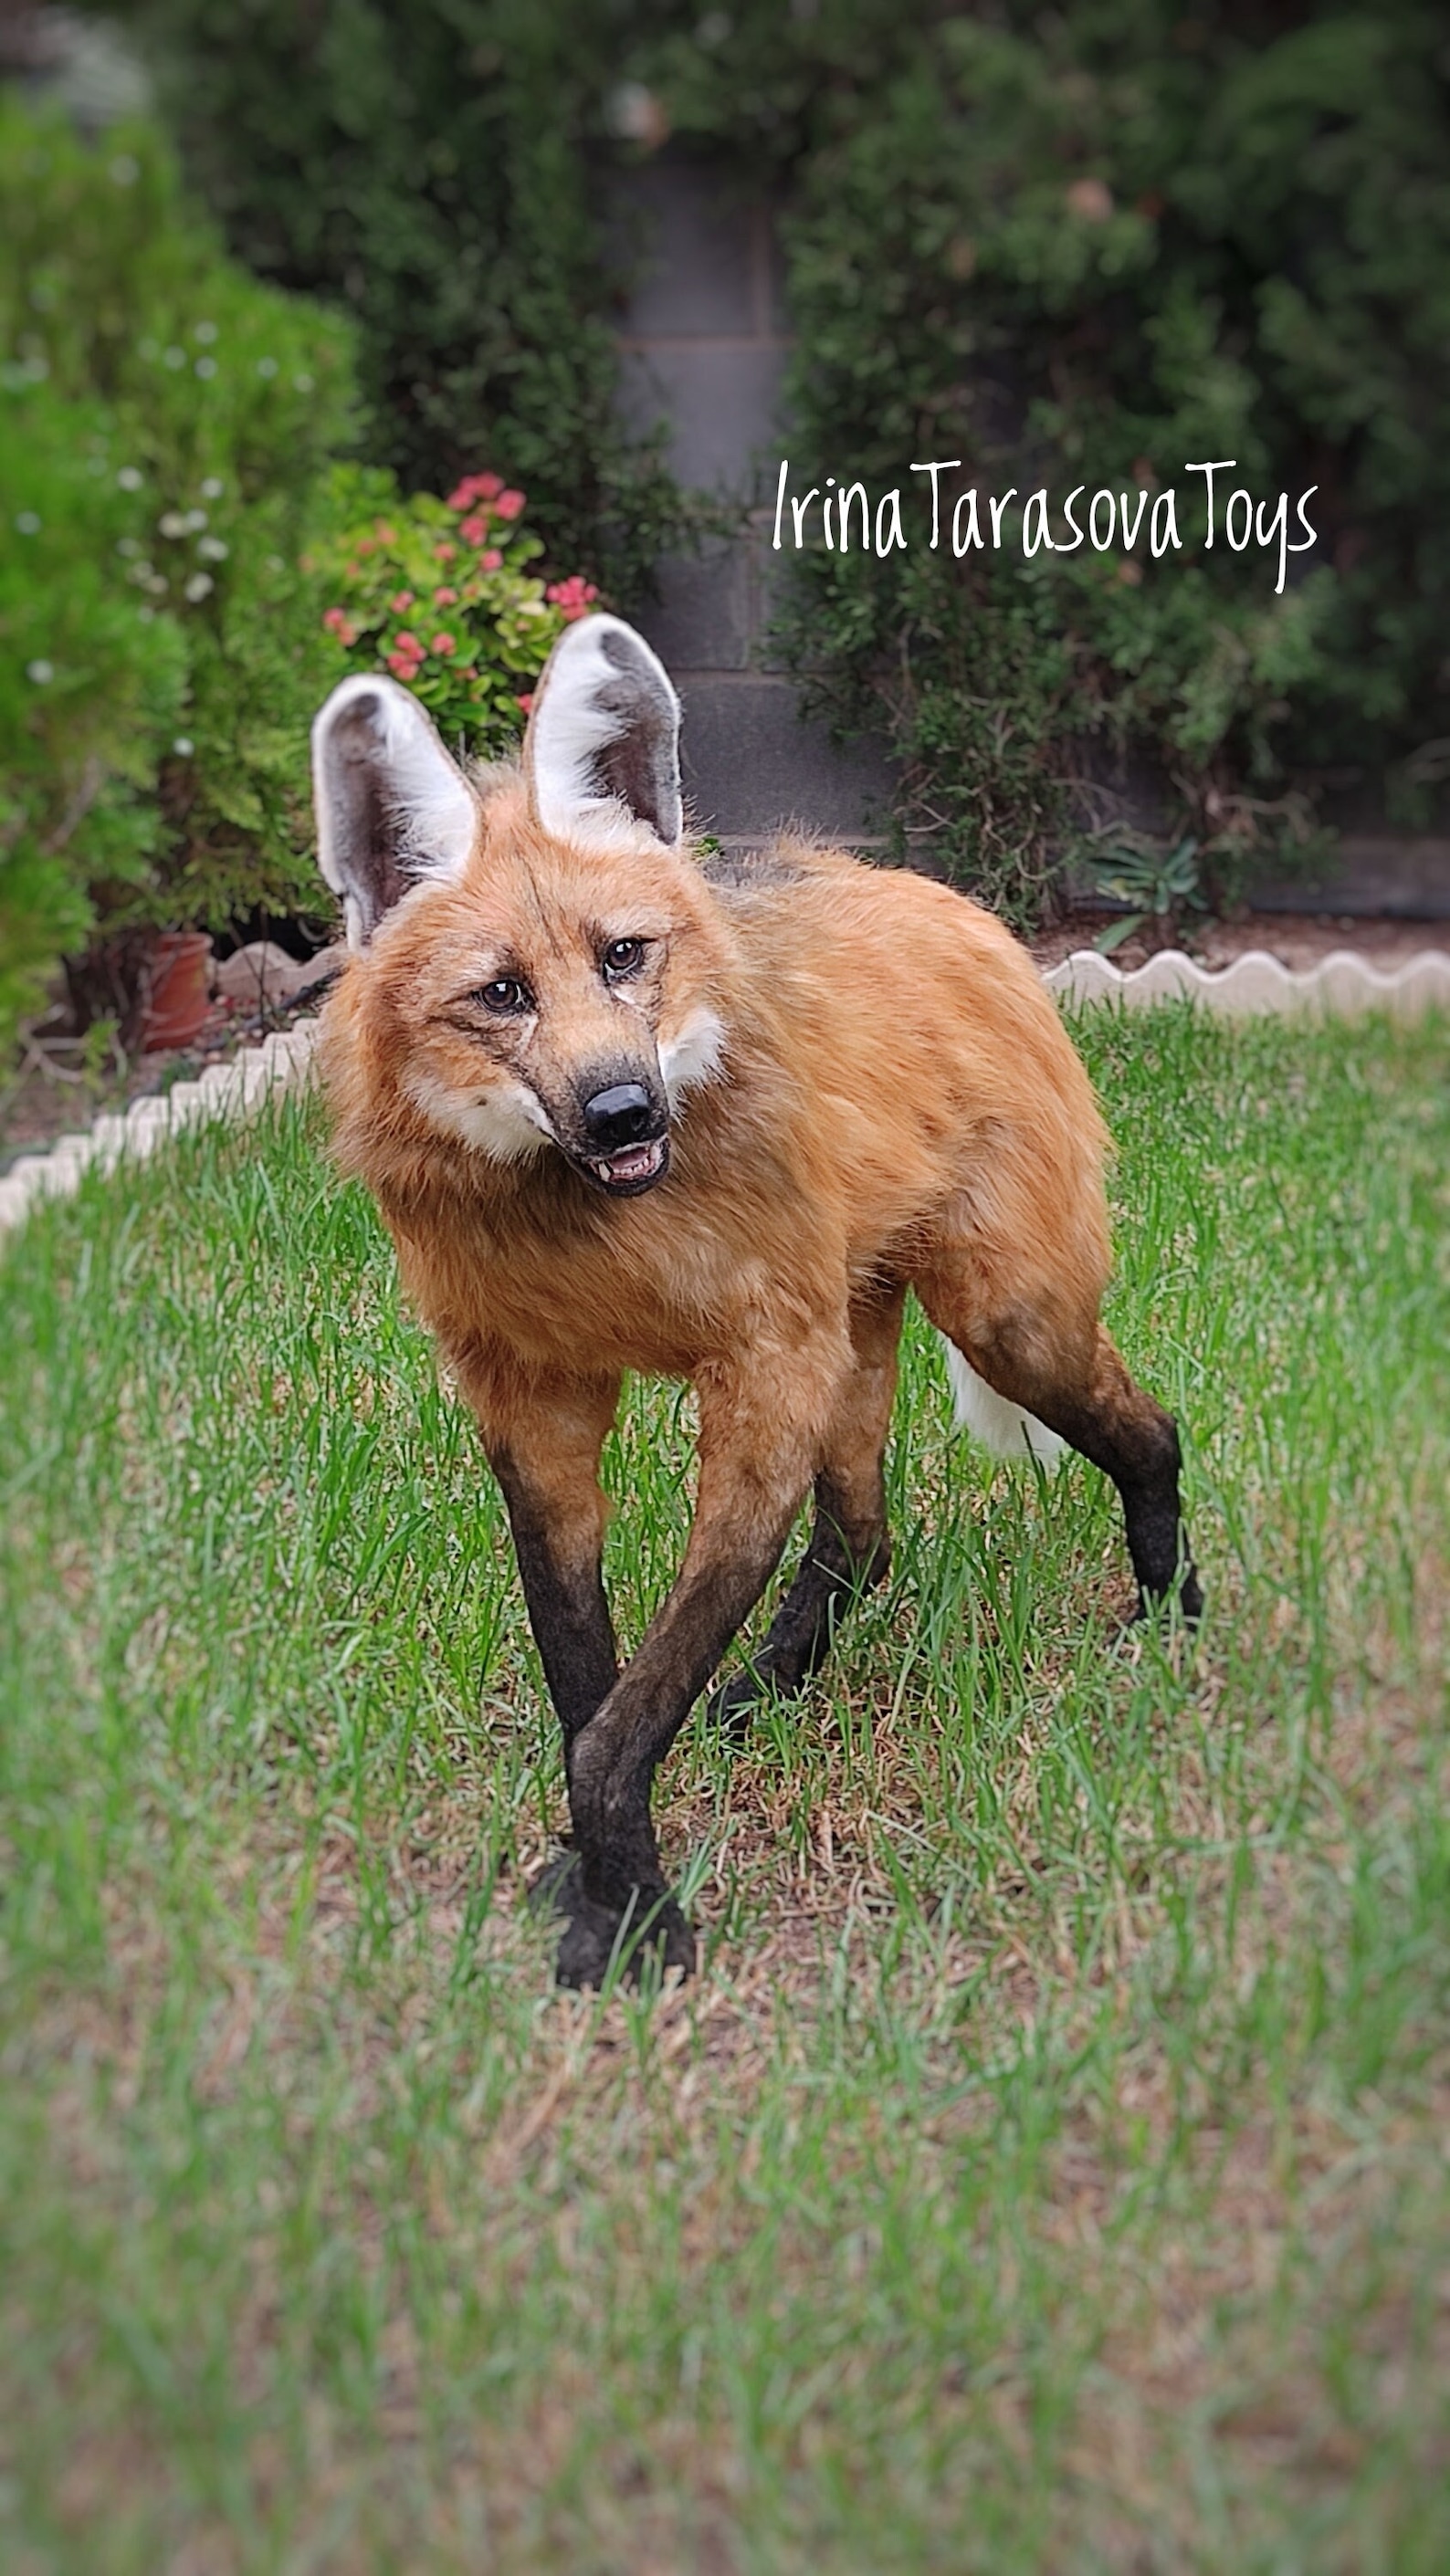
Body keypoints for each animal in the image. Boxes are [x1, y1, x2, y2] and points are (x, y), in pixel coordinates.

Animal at [311, 613, 1201, 1986]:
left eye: (624, 957)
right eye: (502, 992)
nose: (625, 1111)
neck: (592, 1237)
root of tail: (962, 906)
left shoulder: (759, 1380)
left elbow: (609, 1732)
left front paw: (640, 1925)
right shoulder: (537, 1405)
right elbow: (588, 1693)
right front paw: (607, 1891)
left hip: (1004, 1321)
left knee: (1150, 1434)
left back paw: (1166, 1621)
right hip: (855, 1341)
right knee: (867, 1533)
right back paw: (769, 1687)